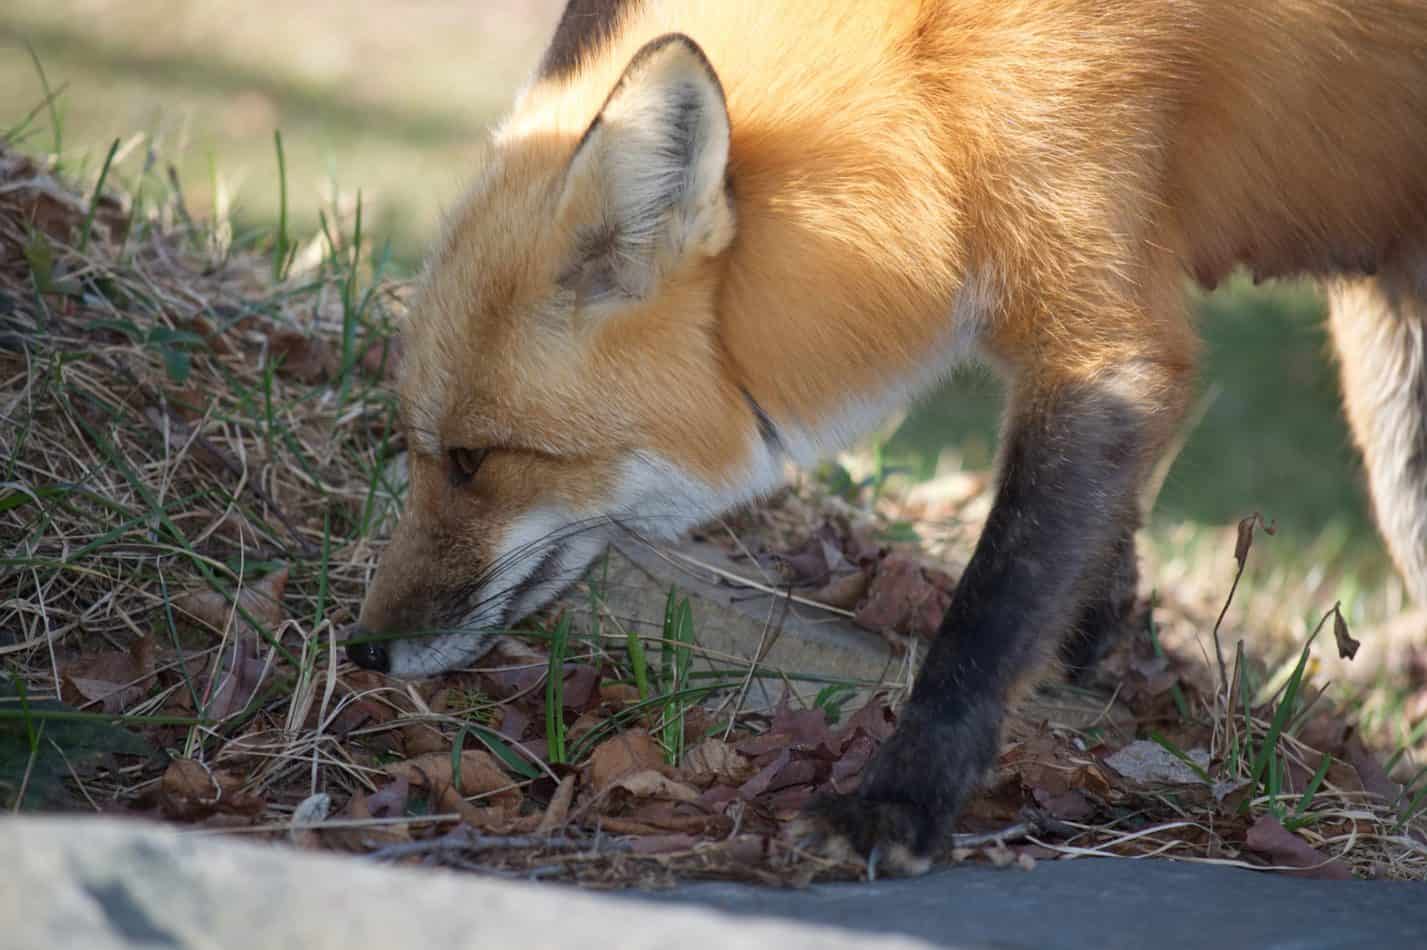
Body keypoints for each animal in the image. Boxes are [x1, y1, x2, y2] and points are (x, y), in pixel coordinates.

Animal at [351, 0, 1427, 874]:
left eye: (472, 459)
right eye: (418, 447)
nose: (362, 650)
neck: (937, 101)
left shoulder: (1101, 327)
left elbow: (991, 601)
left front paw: (900, 800)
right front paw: (1101, 613)